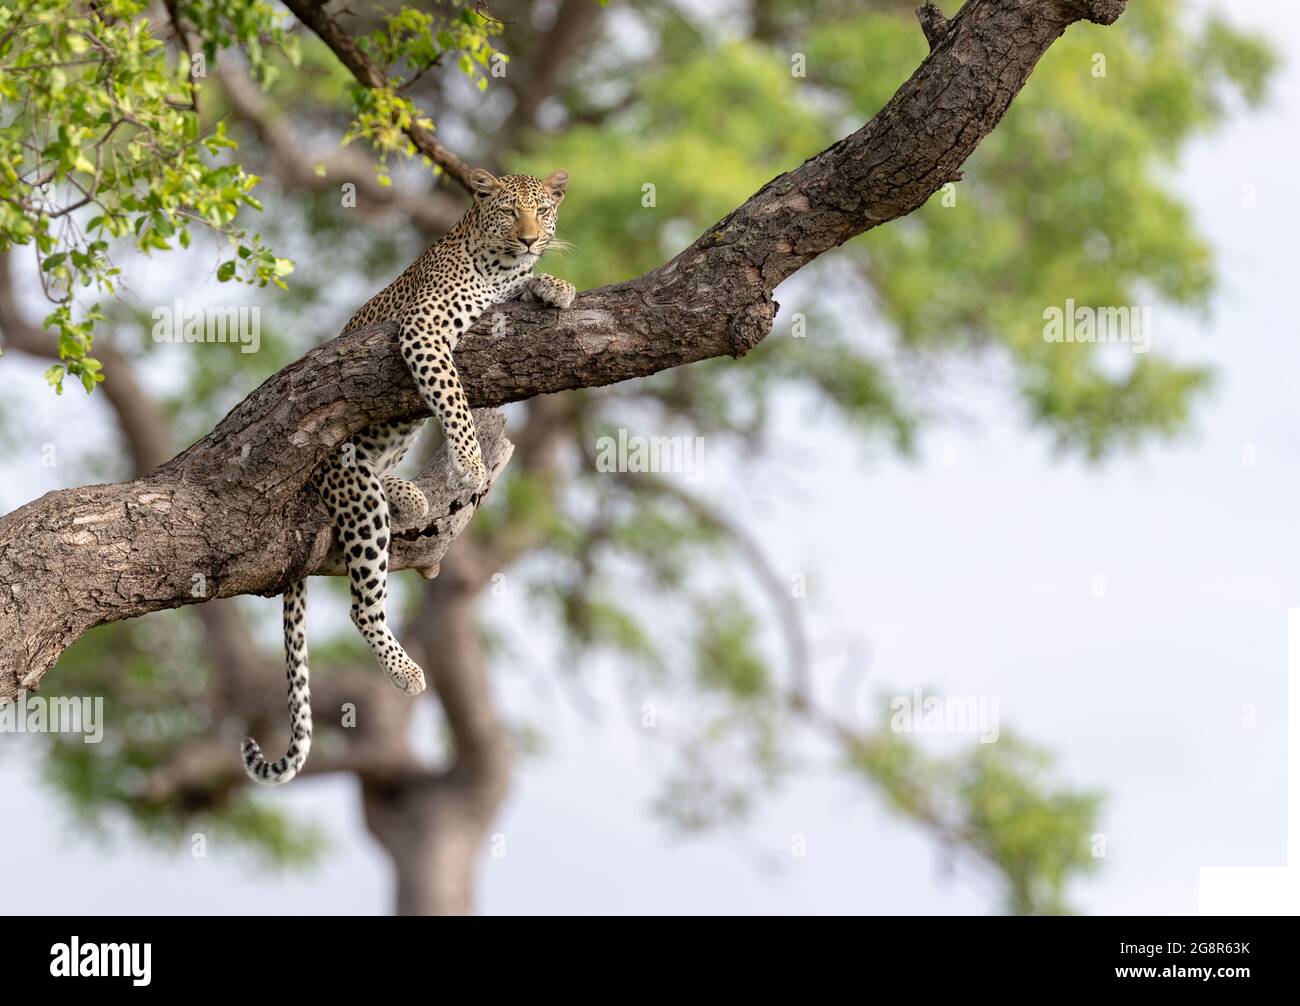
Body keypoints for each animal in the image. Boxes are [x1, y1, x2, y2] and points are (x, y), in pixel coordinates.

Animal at [241, 168, 576, 785]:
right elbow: (454, 399)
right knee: (363, 603)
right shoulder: (424, 329)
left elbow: (526, 286)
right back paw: (407, 671)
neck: (494, 261)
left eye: (542, 210)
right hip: (353, 497)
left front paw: (555, 285)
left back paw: (410, 495)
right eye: (509, 212)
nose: (528, 238)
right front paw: (469, 460)